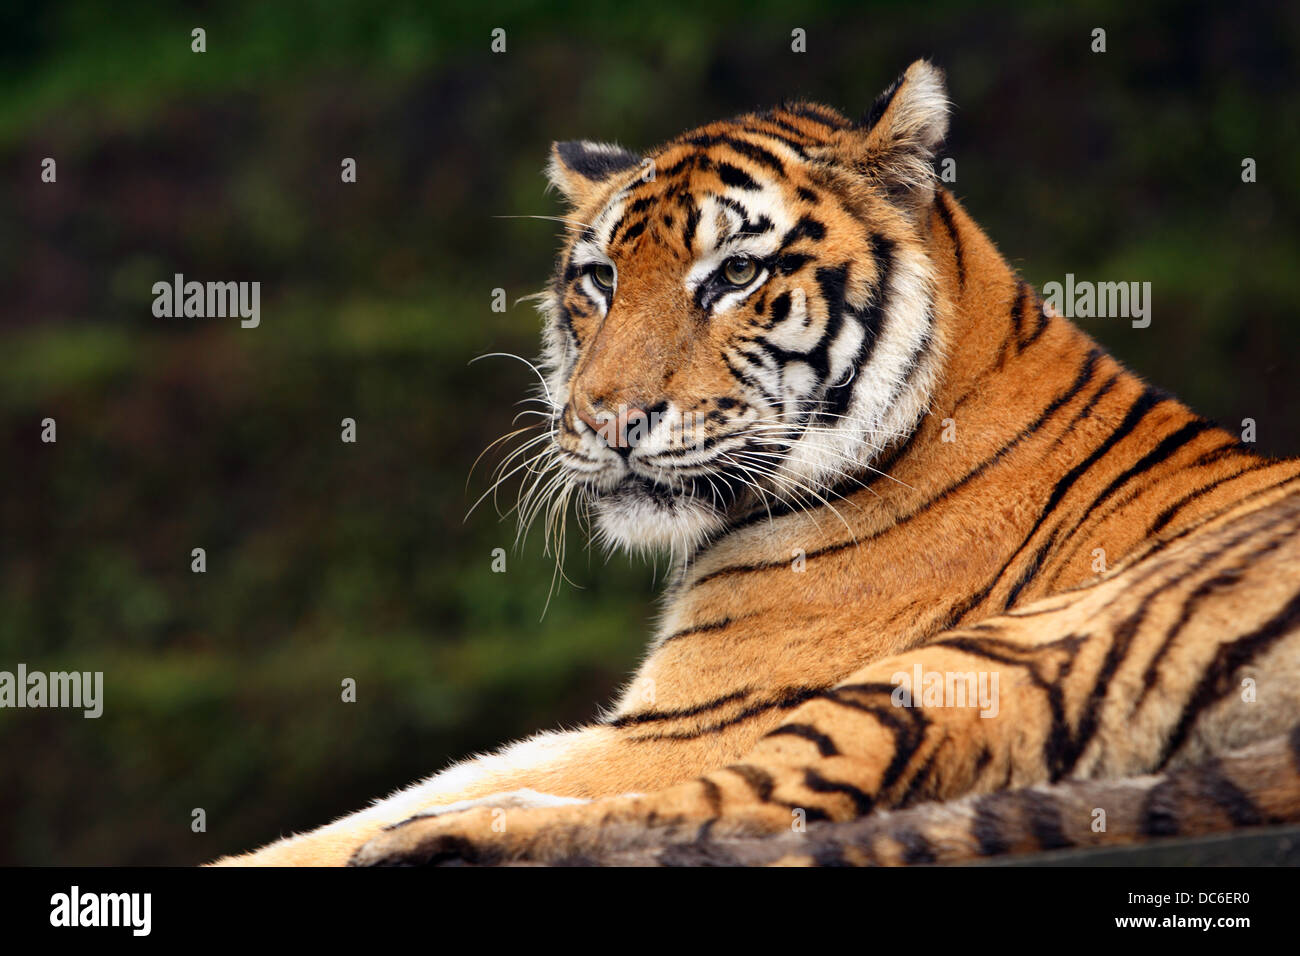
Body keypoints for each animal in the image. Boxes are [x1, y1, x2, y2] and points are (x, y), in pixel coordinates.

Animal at [215, 59, 1300, 867]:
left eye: (736, 273)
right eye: (599, 280)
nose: (609, 418)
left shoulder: (692, 719)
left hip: (991, 656)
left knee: (748, 816)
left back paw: (437, 840)